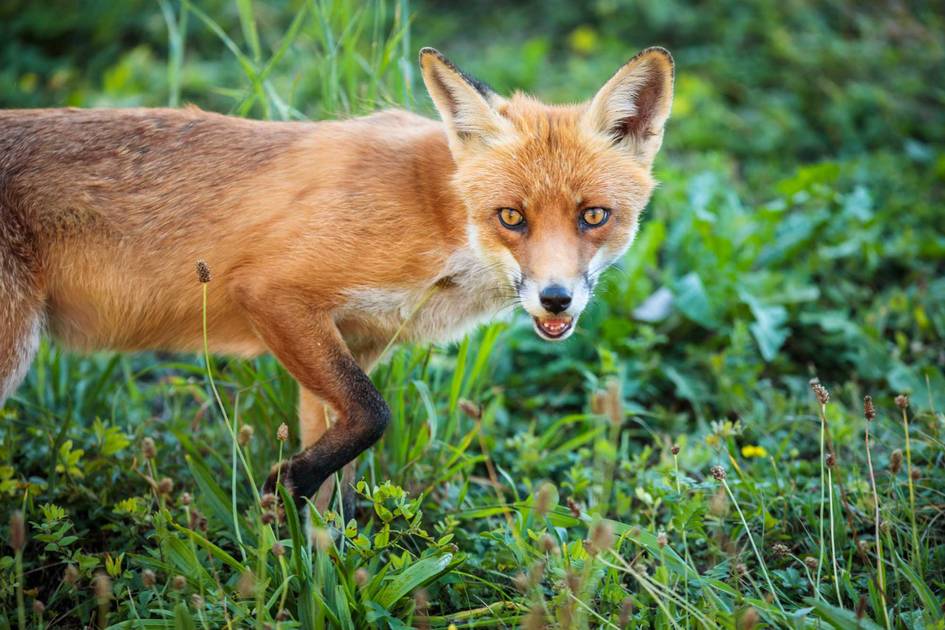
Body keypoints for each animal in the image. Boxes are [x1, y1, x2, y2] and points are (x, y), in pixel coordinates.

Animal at [0, 47, 674, 508]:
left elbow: (342, 469)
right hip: (12, 350)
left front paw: (316, 562)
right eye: (511, 217)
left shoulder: (355, 340)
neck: (438, 223)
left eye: (593, 216)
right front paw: (287, 483)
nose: (556, 299)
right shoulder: (272, 292)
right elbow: (375, 416)